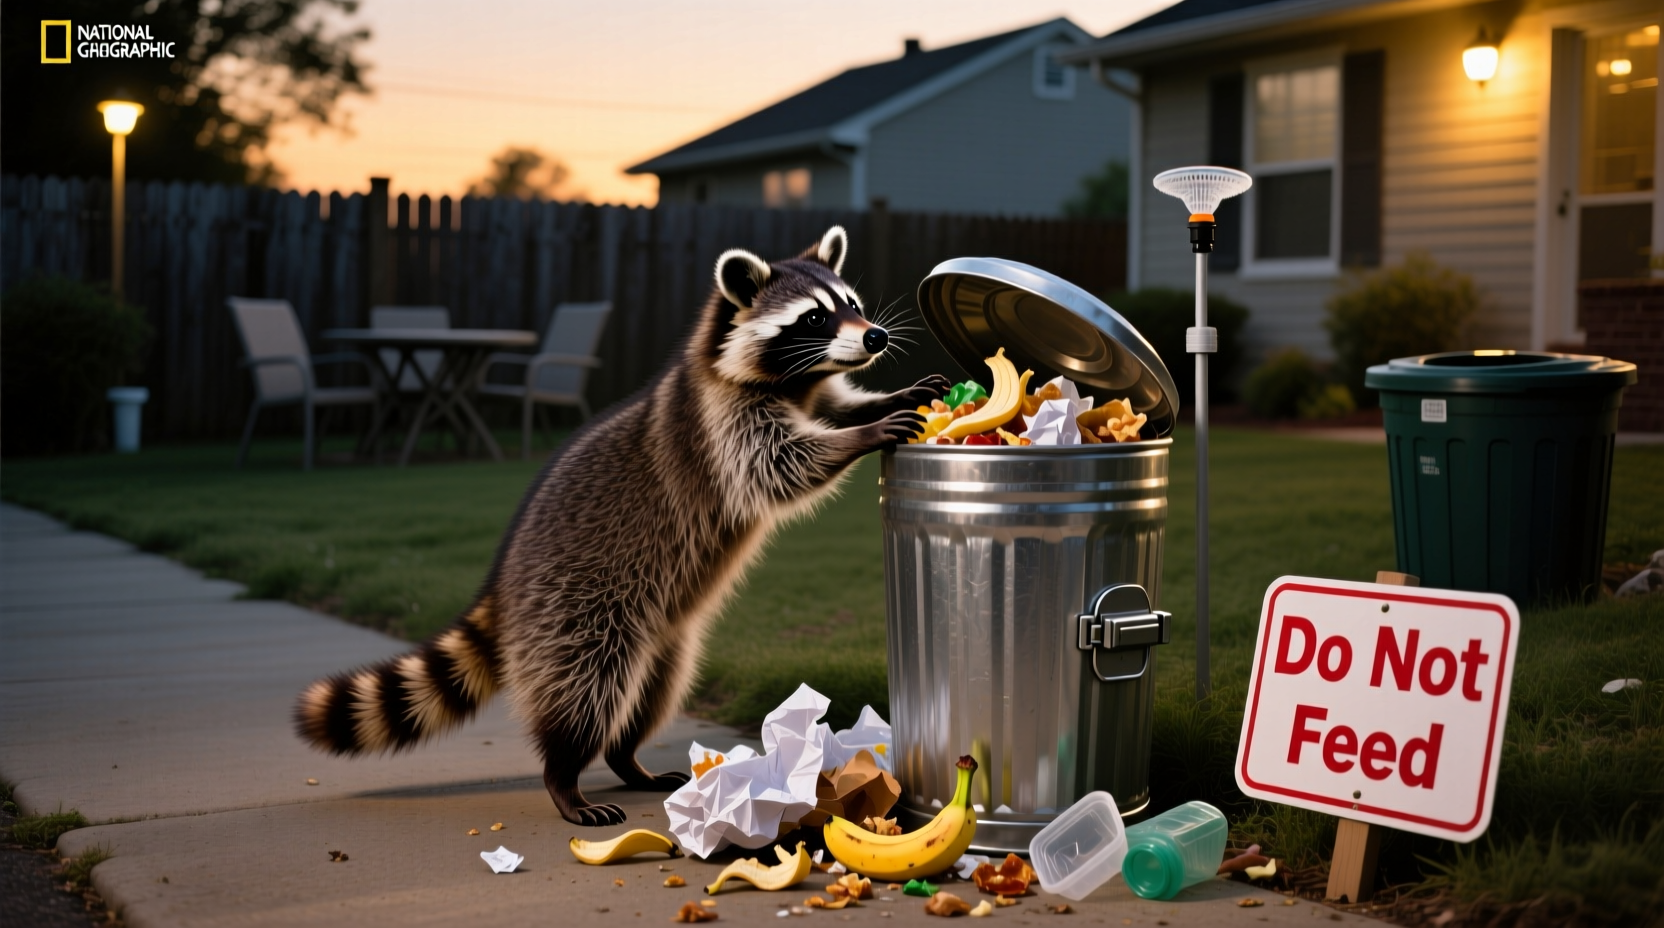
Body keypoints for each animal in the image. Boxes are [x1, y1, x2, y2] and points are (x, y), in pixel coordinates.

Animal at [295, 226, 948, 826]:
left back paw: (625, 759)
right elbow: (778, 466)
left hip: (662, 640)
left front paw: (884, 401)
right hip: (578, 610)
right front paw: (861, 435)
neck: (791, 382)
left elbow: (836, 409)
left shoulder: (810, 389)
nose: (874, 335)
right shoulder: (720, 421)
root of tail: (502, 581)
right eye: (813, 317)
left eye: (851, 303)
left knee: (649, 695)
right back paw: (563, 775)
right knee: (585, 688)